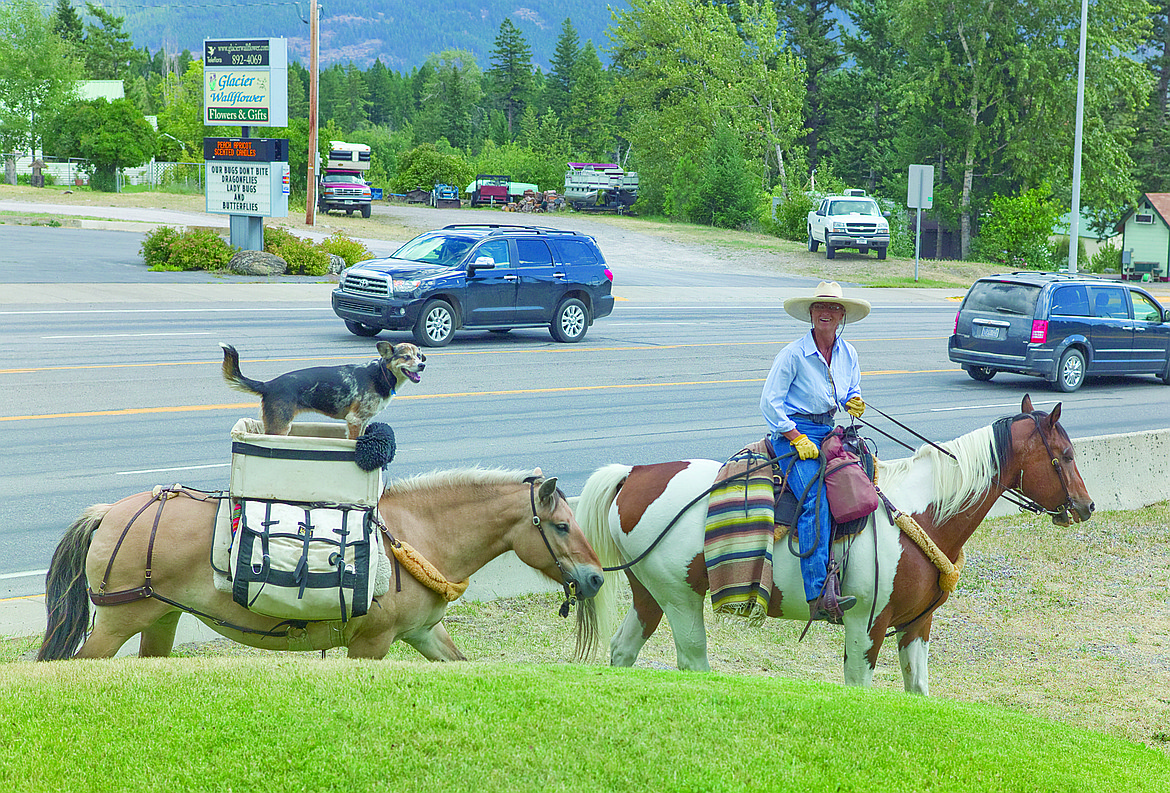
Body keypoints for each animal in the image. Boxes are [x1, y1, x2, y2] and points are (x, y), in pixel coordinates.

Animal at [38, 468, 605, 662]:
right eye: (560, 526)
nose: (597, 577)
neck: (415, 535)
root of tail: (110, 512)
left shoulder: (424, 635)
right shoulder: (371, 645)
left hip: (160, 618)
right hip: (118, 622)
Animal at [574, 395, 1094, 694]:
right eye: (1065, 455)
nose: (1086, 506)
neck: (919, 511)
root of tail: (635, 474)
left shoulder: (916, 625)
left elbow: (918, 691)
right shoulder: (866, 623)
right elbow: (858, 686)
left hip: (650, 594)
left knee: (622, 650)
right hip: (681, 598)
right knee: (693, 661)